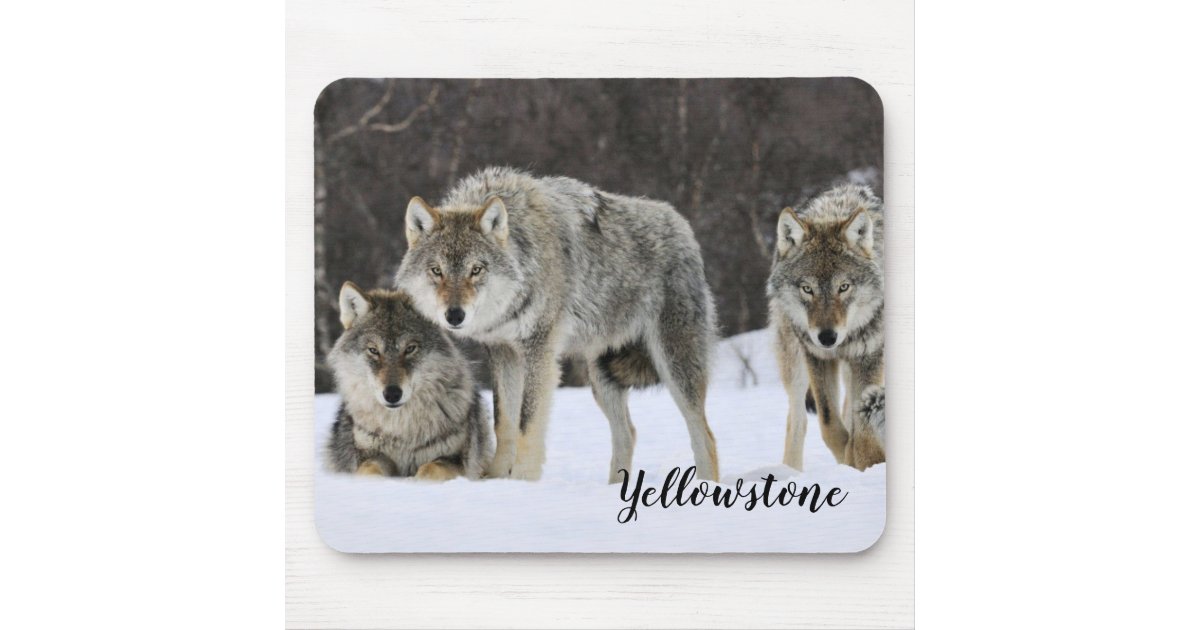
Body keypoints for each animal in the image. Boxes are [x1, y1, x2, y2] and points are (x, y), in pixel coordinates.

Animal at [325, 281, 494, 480]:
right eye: (373, 350)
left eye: (410, 349)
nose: (392, 394)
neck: (401, 430)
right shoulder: (369, 455)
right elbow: (369, 470)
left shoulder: (455, 460)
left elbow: (429, 470)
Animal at [395, 166, 719, 482]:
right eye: (436, 271)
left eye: (476, 270)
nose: (454, 315)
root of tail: (682, 225)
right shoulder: (503, 352)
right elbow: (504, 422)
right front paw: (496, 479)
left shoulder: (539, 350)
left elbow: (527, 423)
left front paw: (522, 482)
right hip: (602, 378)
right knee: (628, 433)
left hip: (674, 367)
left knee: (704, 435)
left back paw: (707, 484)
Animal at [768, 184, 886, 471]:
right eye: (807, 289)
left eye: (843, 287)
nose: (827, 337)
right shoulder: (817, 356)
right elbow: (829, 424)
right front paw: (848, 460)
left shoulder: (870, 356)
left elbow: (862, 432)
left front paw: (866, 464)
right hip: (795, 363)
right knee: (797, 420)